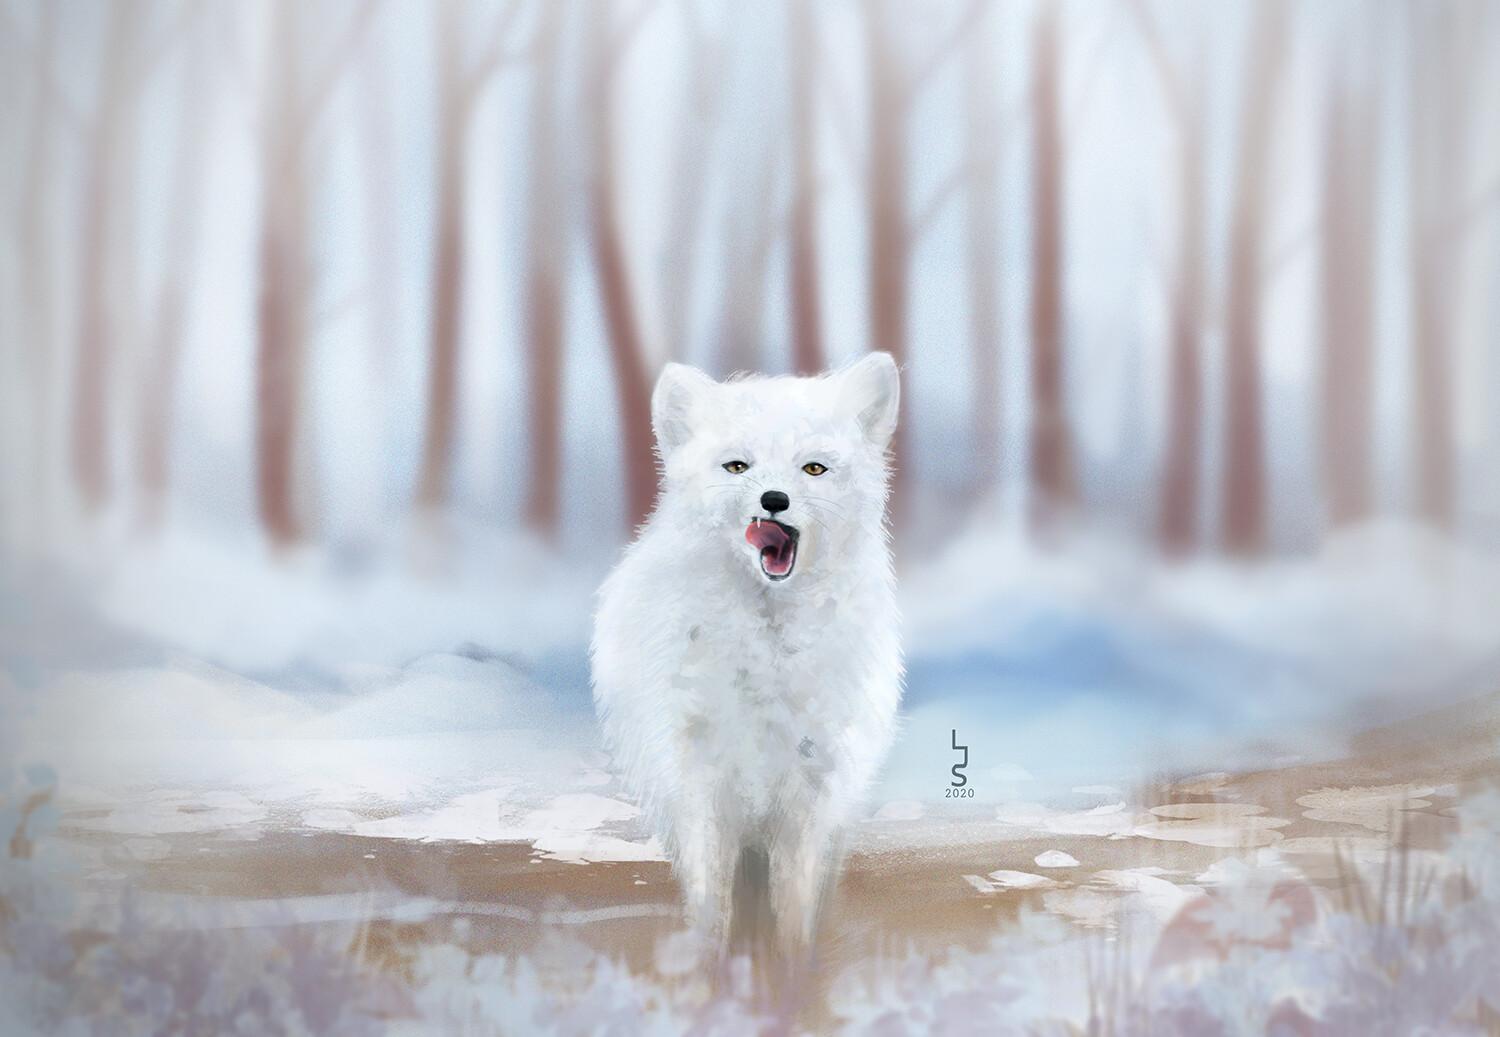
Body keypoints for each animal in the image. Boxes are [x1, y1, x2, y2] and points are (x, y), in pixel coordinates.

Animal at [591, 352, 902, 960]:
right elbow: (712, 899)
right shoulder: (702, 781)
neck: (768, 647)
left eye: (813, 469)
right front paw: (712, 962)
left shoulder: (810, 786)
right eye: (737, 467)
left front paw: (791, 965)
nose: (773, 501)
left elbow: (796, 905)